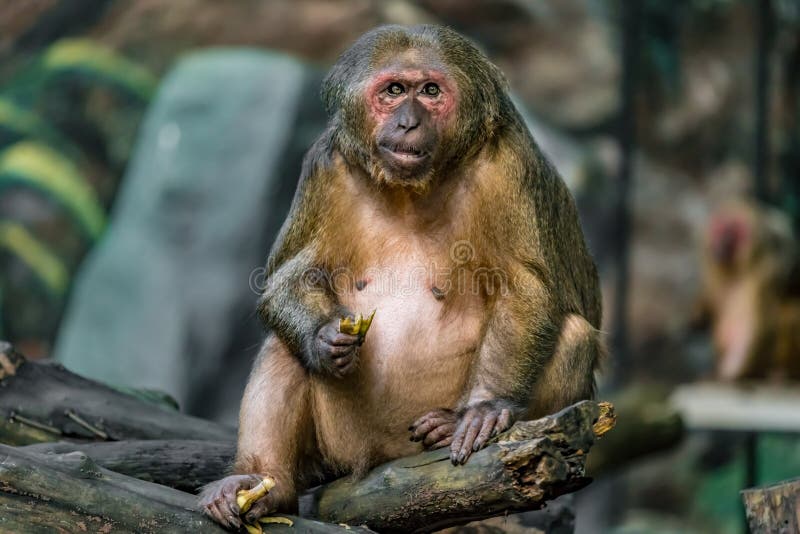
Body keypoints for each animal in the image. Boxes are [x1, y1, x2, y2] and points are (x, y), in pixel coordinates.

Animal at [200, 25, 603, 529]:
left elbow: (525, 284)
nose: (409, 122)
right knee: (283, 346)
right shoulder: (328, 163)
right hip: (344, 446)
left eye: (430, 91)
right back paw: (261, 483)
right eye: (394, 91)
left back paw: (450, 428)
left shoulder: (509, 163)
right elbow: (288, 278)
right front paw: (325, 338)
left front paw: (486, 406)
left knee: (574, 335)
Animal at [694, 200, 800, 381]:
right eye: (720, 228)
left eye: (735, 231)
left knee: (789, 311)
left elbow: (749, 326)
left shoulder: (765, 270)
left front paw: (730, 372)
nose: (723, 241)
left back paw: (780, 372)